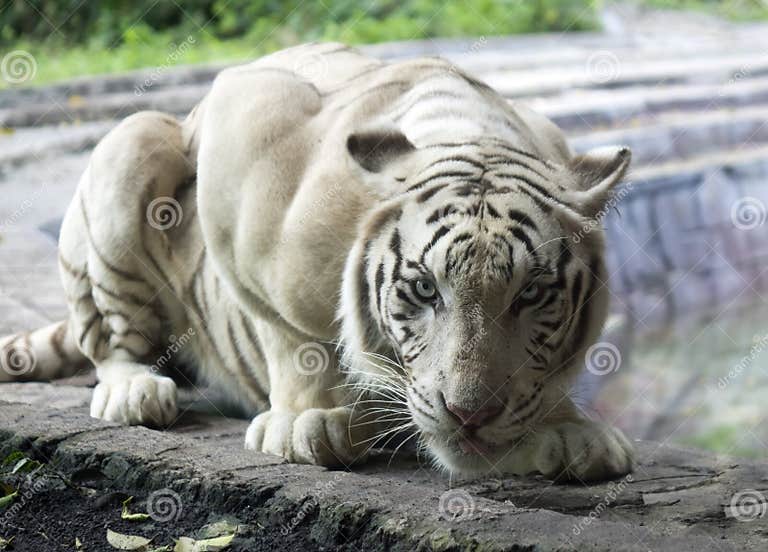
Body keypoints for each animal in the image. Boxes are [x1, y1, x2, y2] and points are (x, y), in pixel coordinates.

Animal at [0, 42, 634, 481]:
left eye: (531, 293)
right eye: (425, 290)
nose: (469, 415)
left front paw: (570, 431)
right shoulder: (245, 135)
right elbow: (288, 335)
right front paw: (307, 422)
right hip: (135, 140)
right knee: (109, 338)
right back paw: (134, 391)